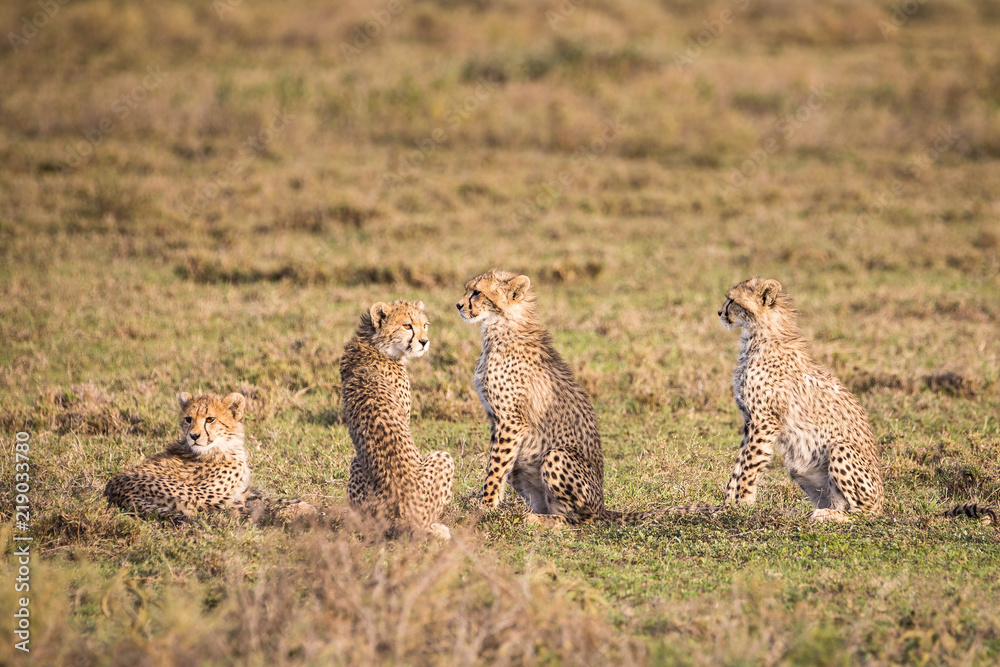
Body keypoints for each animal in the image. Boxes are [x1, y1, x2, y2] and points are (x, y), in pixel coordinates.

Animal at [340, 300, 454, 540]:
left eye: (425, 325)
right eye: (407, 326)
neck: (374, 344)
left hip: (356, 463)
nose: (424, 342)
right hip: (444, 458)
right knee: (420, 526)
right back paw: (437, 529)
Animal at [458, 269, 720, 527]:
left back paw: (537, 520)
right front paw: (490, 507)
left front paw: (484, 509)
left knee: (581, 520)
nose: (458, 305)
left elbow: (494, 470)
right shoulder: (497, 421)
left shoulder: (511, 421)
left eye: (477, 292)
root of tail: (603, 507)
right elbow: (497, 468)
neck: (501, 327)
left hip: (558, 455)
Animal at [719, 277, 997, 527]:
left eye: (732, 300)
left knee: (864, 513)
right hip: (801, 468)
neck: (759, 335)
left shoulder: (764, 421)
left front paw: (737, 505)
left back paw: (828, 516)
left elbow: (748, 466)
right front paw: (724, 505)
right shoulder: (750, 421)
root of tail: (883, 504)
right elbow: (739, 466)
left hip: (841, 449)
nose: (720, 312)